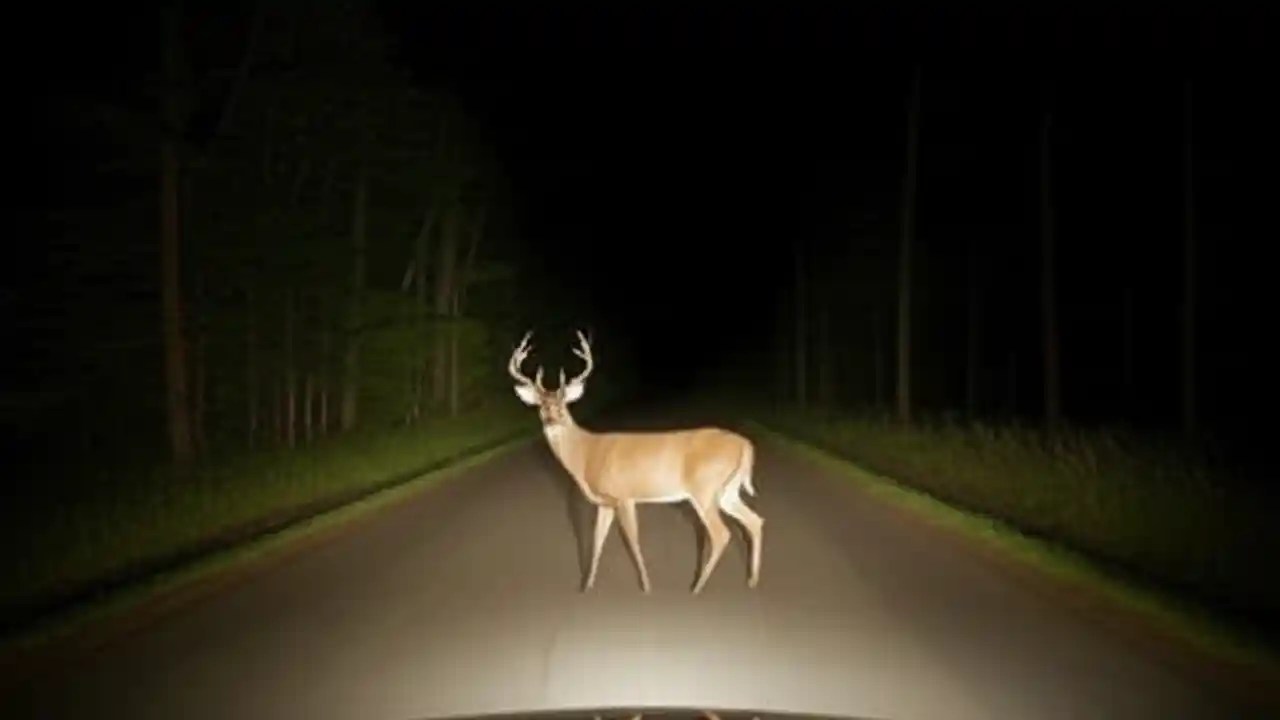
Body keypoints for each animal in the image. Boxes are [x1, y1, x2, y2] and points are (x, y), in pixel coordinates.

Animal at [508, 329, 764, 594]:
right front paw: (586, 586)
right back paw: (751, 580)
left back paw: (697, 586)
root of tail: (746, 445)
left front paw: (646, 585)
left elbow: (632, 541)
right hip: (726, 490)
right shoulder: (605, 502)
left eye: (563, 406)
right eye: (541, 406)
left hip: (704, 488)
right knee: (755, 521)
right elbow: (597, 541)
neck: (586, 453)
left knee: (722, 534)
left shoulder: (624, 496)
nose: (551, 420)